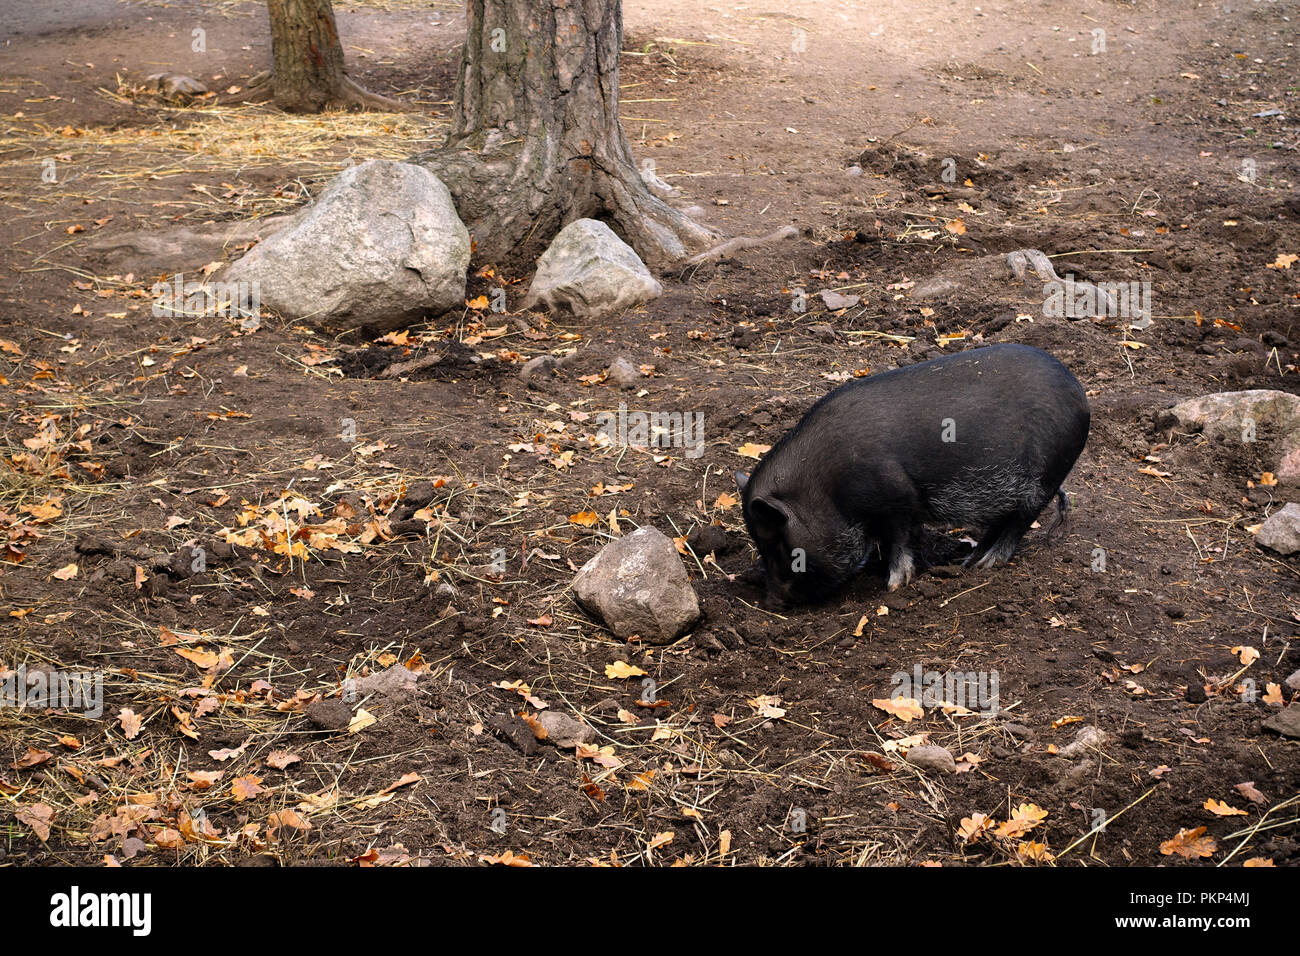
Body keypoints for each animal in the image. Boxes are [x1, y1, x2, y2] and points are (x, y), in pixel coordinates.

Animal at [735, 343, 1089, 607]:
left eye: (781, 546)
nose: (770, 603)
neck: (825, 489)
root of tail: (1080, 396)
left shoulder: (899, 499)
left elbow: (899, 540)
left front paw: (893, 586)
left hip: (1043, 480)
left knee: (1019, 523)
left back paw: (985, 564)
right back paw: (968, 561)